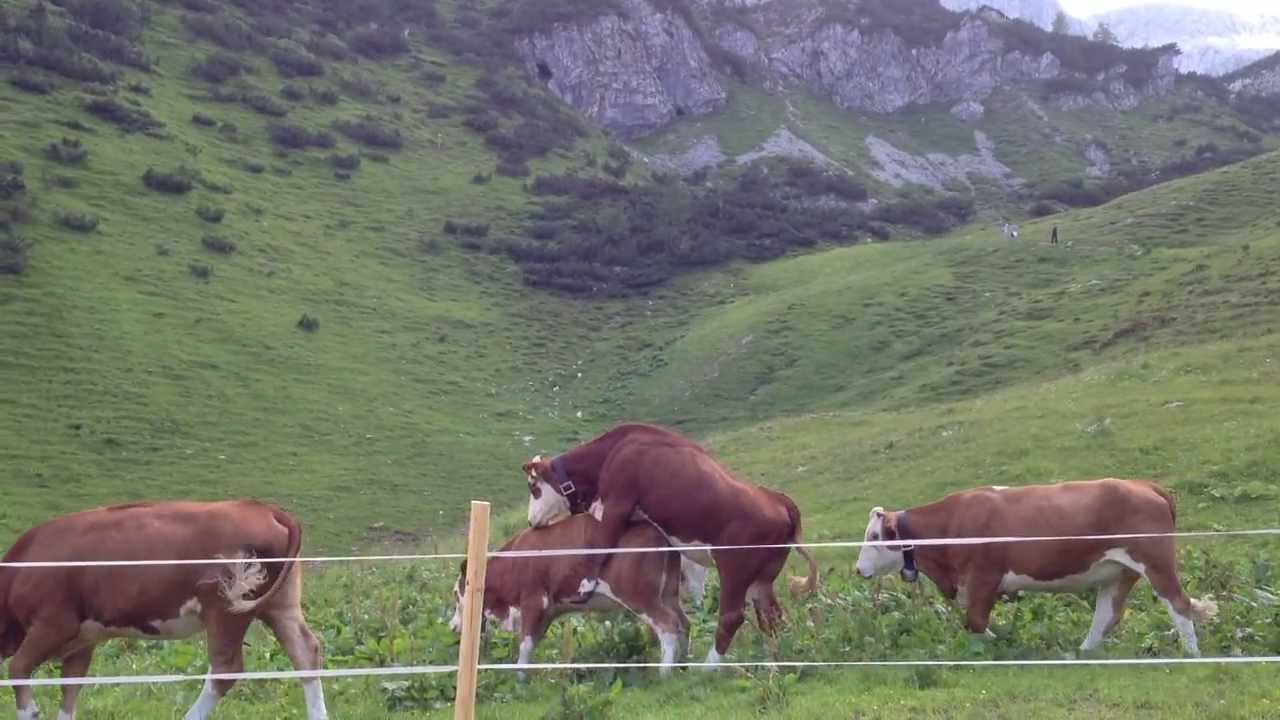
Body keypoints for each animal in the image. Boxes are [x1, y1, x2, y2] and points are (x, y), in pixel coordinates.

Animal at [0, 500, 327, 720]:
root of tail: (263, 507)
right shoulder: (82, 642)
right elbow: (69, 692)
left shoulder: (54, 623)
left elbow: (17, 669)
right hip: (279, 604)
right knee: (306, 652)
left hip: (226, 609)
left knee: (225, 670)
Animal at [447, 514, 687, 678]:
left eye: (456, 594)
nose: (452, 626)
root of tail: (659, 534)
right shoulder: (549, 610)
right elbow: (532, 642)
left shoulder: (532, 600)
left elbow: (524, 643)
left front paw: (519, 677)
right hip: (668, 593)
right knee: (684, 622)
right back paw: (684, 665)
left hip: (639, 595)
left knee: (668, 624)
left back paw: (665, 672)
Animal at [521, 422, 819, 667]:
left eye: (534, 488)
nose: (530, 521)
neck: (614, 450)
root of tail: (779, 500)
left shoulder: (618, 503)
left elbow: (601, 545)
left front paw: (585, 586)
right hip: (762, 577)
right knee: (771, 615)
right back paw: (774, 659)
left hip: (735, 566)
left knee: (732, 616)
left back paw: (708, 668)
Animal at [855, 478, 1219, 655]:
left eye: (874, 536)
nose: (858, 569)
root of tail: (1145, 485)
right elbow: (972, 623)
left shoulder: (985, 577)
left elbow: (974, 622)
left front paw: (1002, 644)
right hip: (1118, 572)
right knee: (1107, 614)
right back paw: (1083, 652)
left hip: (1155, 562)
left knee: (1178, 603)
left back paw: (1191, 653)